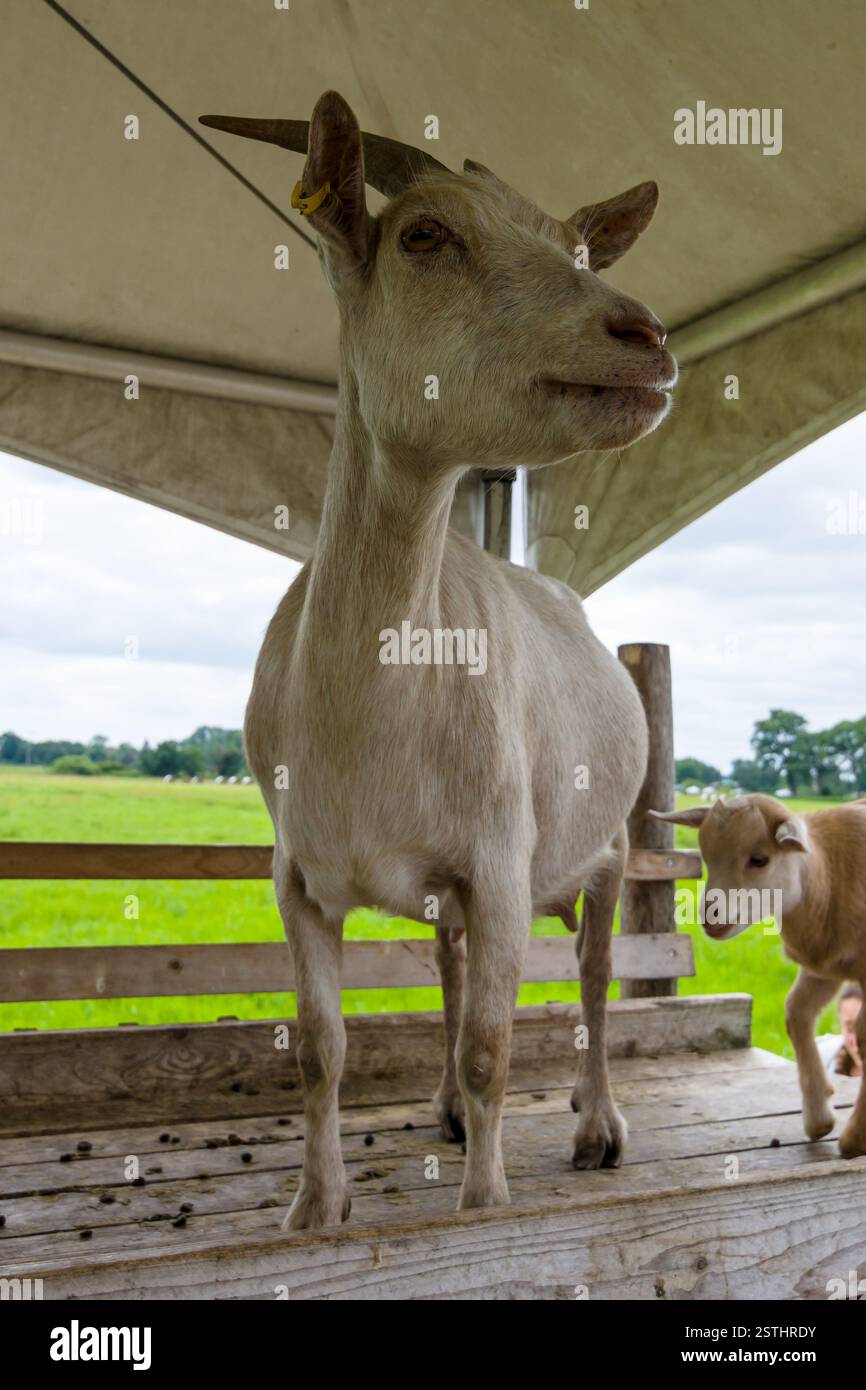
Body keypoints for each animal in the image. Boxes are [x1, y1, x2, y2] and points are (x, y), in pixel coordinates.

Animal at [201, 90, 677, 1229]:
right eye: (424, 236)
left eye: (576, 245)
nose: (644, 335)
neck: (368, 712)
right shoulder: (298, 874)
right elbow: (321, 1050)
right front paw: (313, 1209)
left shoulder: (502, 861)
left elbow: (496, 1046)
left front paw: (484, 1207)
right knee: (455, 970)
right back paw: (453, 1117)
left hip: (600, 850)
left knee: (594, 978)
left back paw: (596, 1125)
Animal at [652, 796, 866, 1158]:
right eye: (706, 856)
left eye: (759, 859)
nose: (712, 919)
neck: (828, 874)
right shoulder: (824, 966)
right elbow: (796, 1014)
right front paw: (818, 1119)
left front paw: (856, 1138)